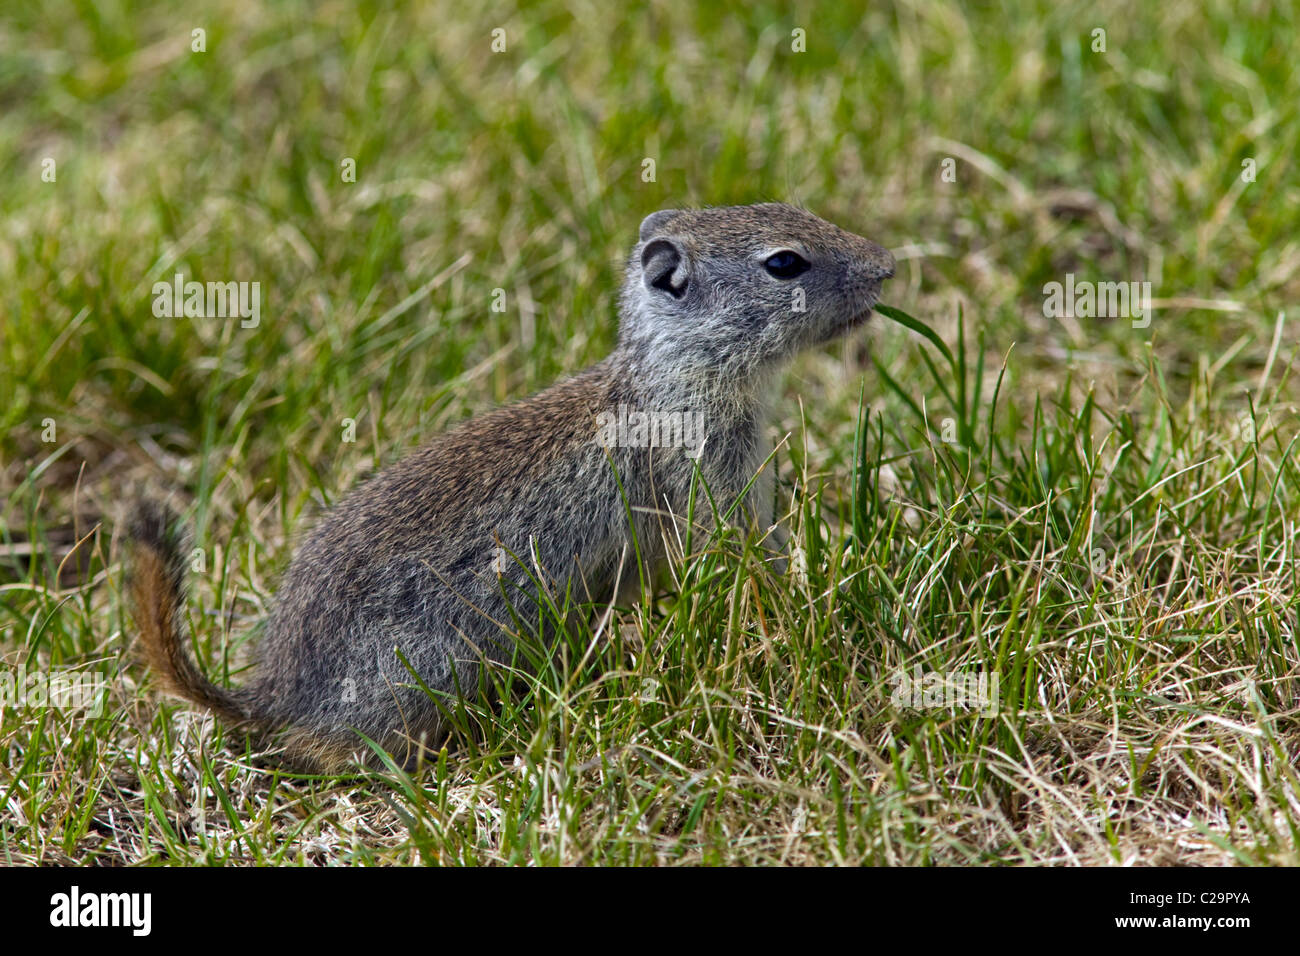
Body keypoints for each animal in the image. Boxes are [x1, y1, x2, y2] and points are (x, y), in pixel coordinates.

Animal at [127, 203, 895, 771]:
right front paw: (797, 608)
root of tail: (275, 695)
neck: (669, 379)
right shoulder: (709, 480)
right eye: (785, 261)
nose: (888, 267)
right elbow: (741, 561)